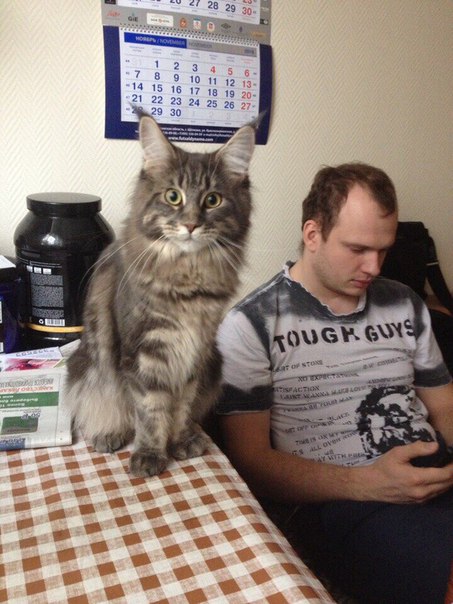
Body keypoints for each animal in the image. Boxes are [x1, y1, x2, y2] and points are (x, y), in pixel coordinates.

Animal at [65, 113, 255, 477]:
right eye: (173, 197)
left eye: (213, 200)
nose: (192, 225)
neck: (189, 280)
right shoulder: (144, 350)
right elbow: (150, 408)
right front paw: (151, 454)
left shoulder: (197, 350)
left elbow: (181, 405)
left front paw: (180, 441)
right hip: (91, 363)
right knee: (103, 404)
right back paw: (110, 433)